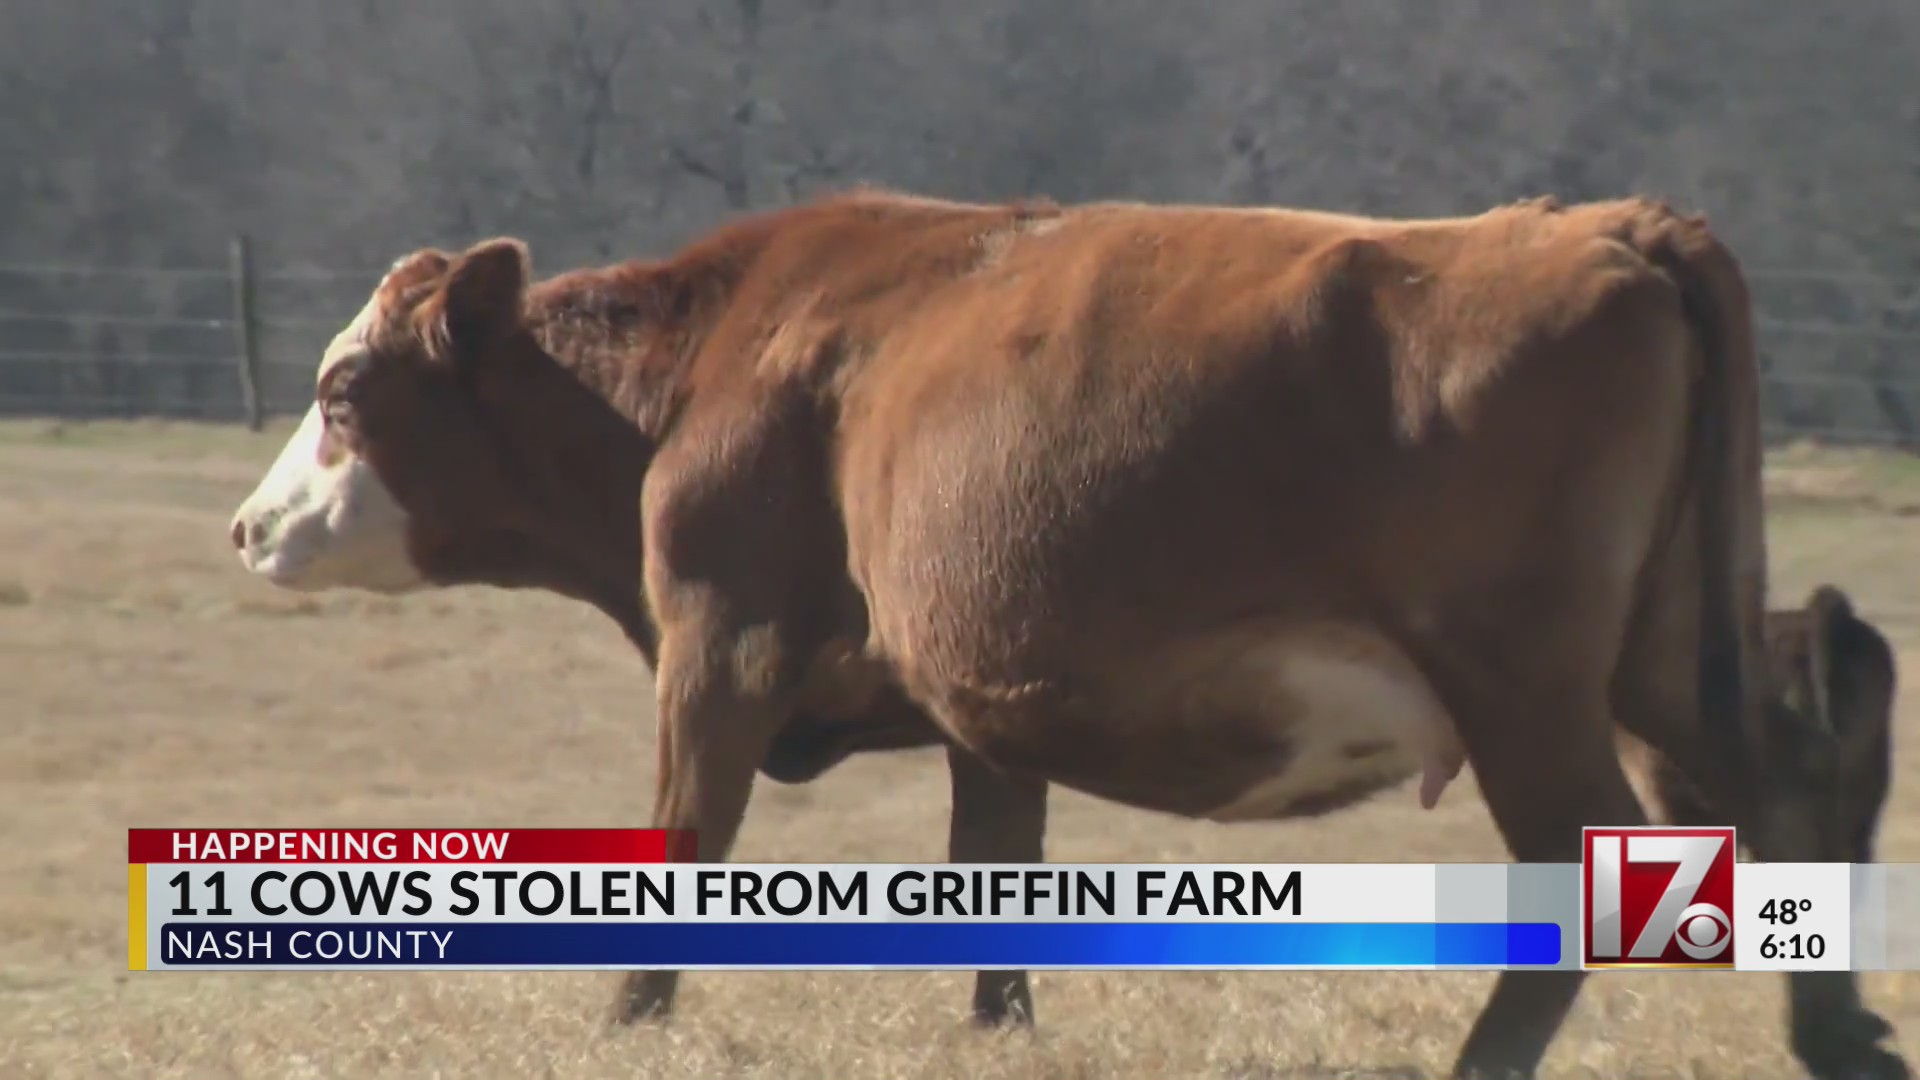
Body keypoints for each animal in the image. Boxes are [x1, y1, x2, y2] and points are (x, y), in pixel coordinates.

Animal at [225, 188, 1907, 1080]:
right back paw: (1839, 1031)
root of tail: (1601, 229)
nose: (249, 528)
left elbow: (686, 844)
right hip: (1668, 661)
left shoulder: (720, 651)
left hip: (1528, 692)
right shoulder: (984, 712)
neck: (730, 355)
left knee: (1580, 864)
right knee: (1793, 783)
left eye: (345, 390)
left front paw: (626, 1024)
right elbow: (997, 876)